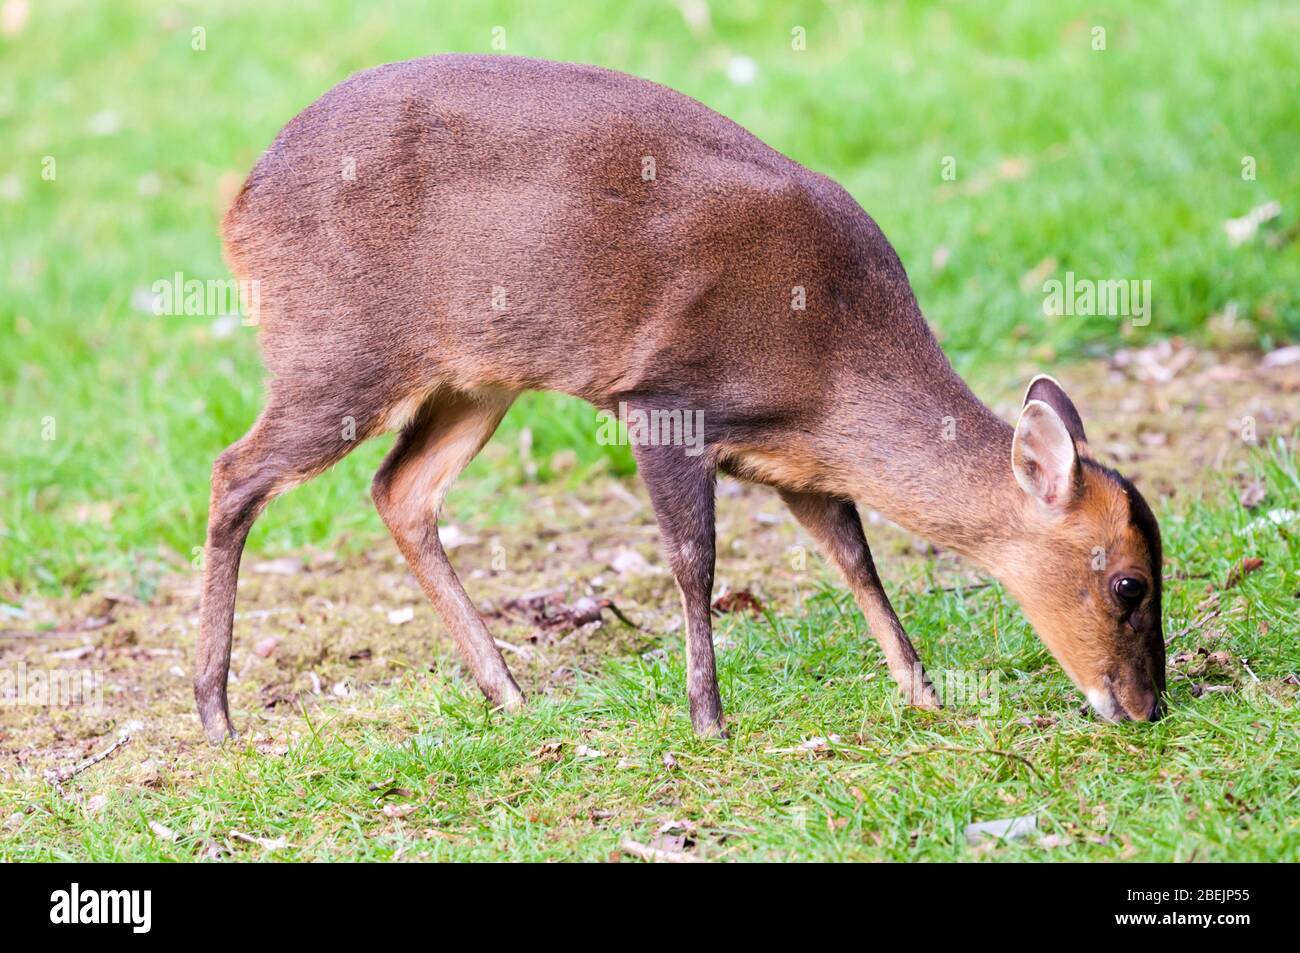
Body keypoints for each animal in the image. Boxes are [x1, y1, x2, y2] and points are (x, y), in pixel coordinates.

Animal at [195, 54, 1165, 744]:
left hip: (476, 378)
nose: (1148, 704)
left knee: (399, 488)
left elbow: (856, 558)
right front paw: (709, 718)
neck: (831, 364)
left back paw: (510, 692)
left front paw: (924, 694)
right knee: (236, 470)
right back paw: (218, 714)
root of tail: (236, 207)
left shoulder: (797, 461)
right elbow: (695, 562)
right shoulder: (664, 398)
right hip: (337, 351)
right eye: (1129, 583)